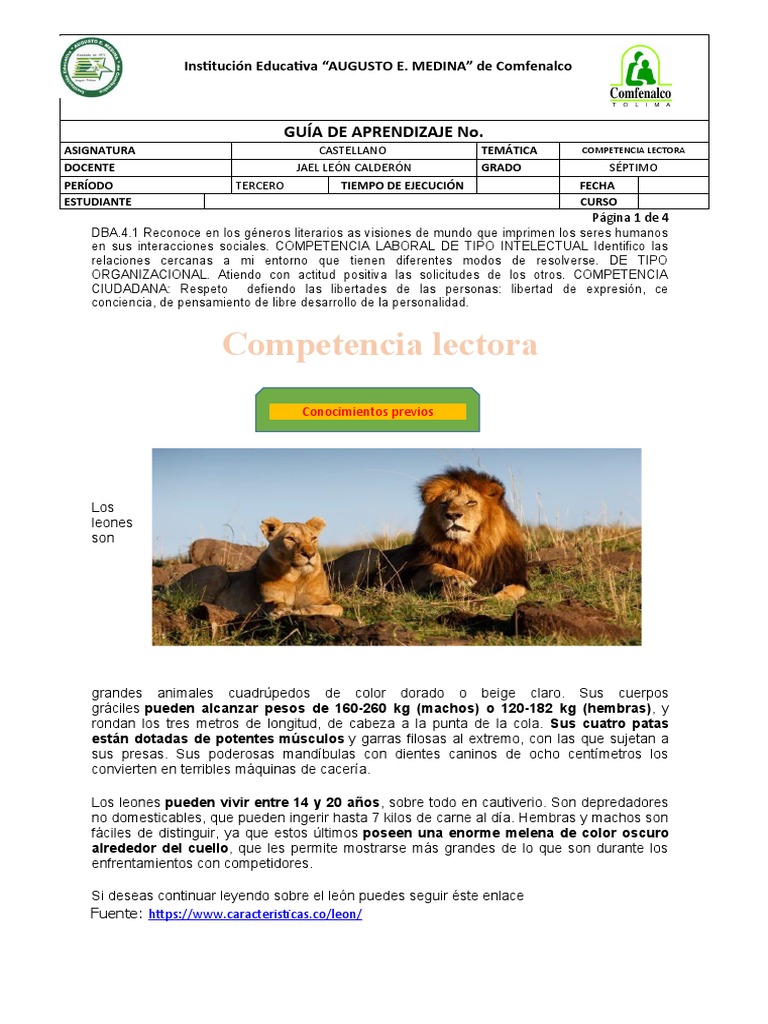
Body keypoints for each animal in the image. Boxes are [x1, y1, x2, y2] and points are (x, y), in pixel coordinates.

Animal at [170, 517, 343, 619]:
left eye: (313, 538)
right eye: (291, 538)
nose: (310, 554)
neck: (296, 576)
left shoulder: (323, 600)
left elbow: (337, 608)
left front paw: (301, 611)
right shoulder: (264, 601)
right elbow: (273, 604)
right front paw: (279, 611)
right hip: (216, 571)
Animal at [326, 468, 528, 601]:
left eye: (471, 502)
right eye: (444, 503)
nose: (452, 515)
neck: (468, 548)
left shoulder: (513, 576)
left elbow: (517, 589)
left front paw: (499, 597)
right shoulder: (407, 578)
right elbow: (434, 566)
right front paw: (461, 578)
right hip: (371, 554)